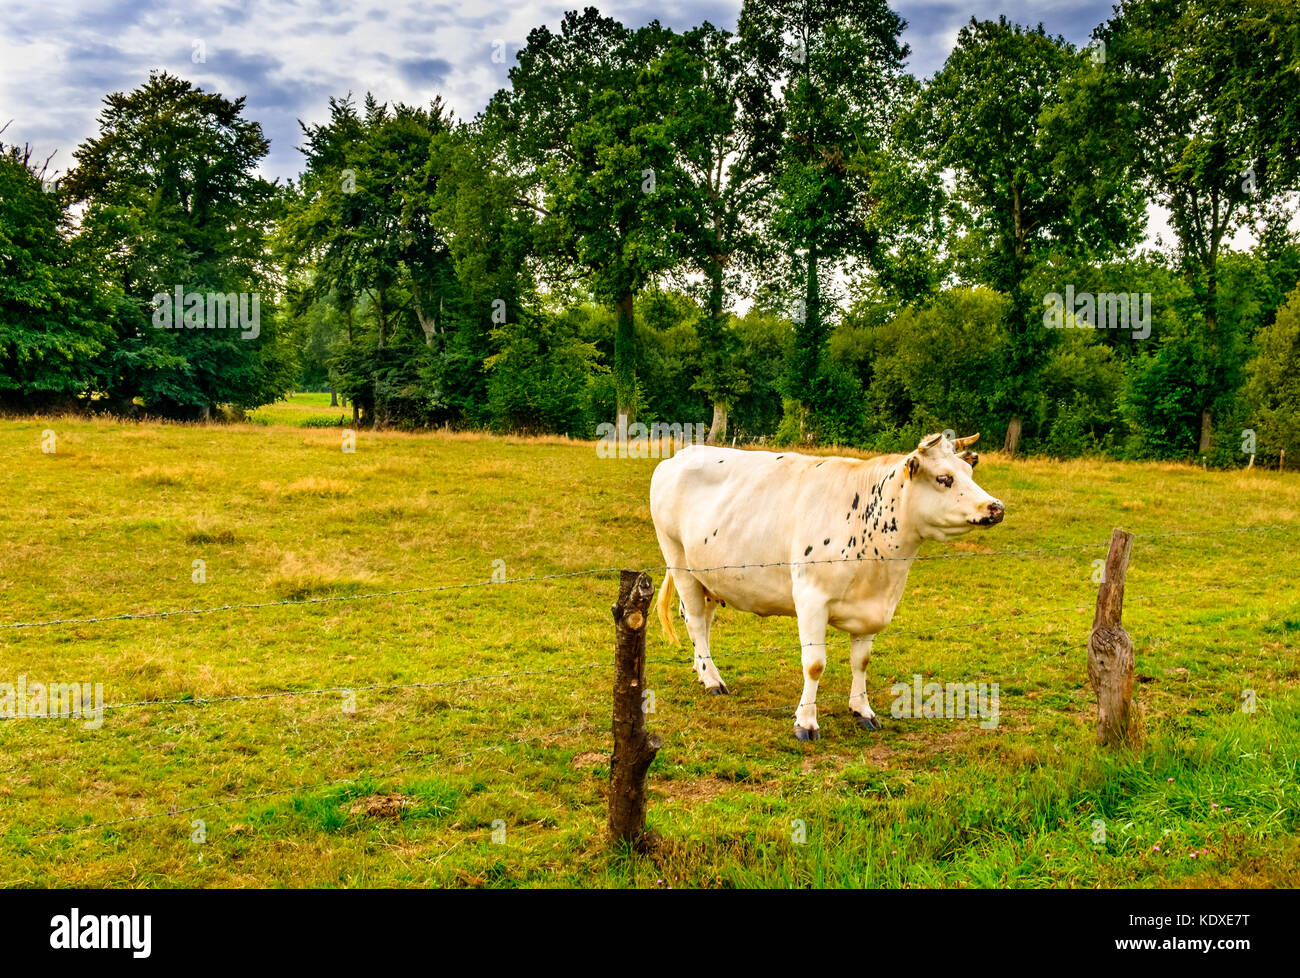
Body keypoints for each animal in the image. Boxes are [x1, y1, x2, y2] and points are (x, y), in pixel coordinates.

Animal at [650, 432, 1005, 740]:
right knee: (696, 621)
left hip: (708, 574)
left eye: (968, 471)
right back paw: (712, 680)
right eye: (945, 478)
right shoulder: (811, 599)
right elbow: (815, 665)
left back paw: (702, 669)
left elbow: (861, 661)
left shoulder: (870, 606)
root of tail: (680, 455)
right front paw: (805, 722)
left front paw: (863, 711)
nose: (996, 507)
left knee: (702, 620)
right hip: (678, 559)